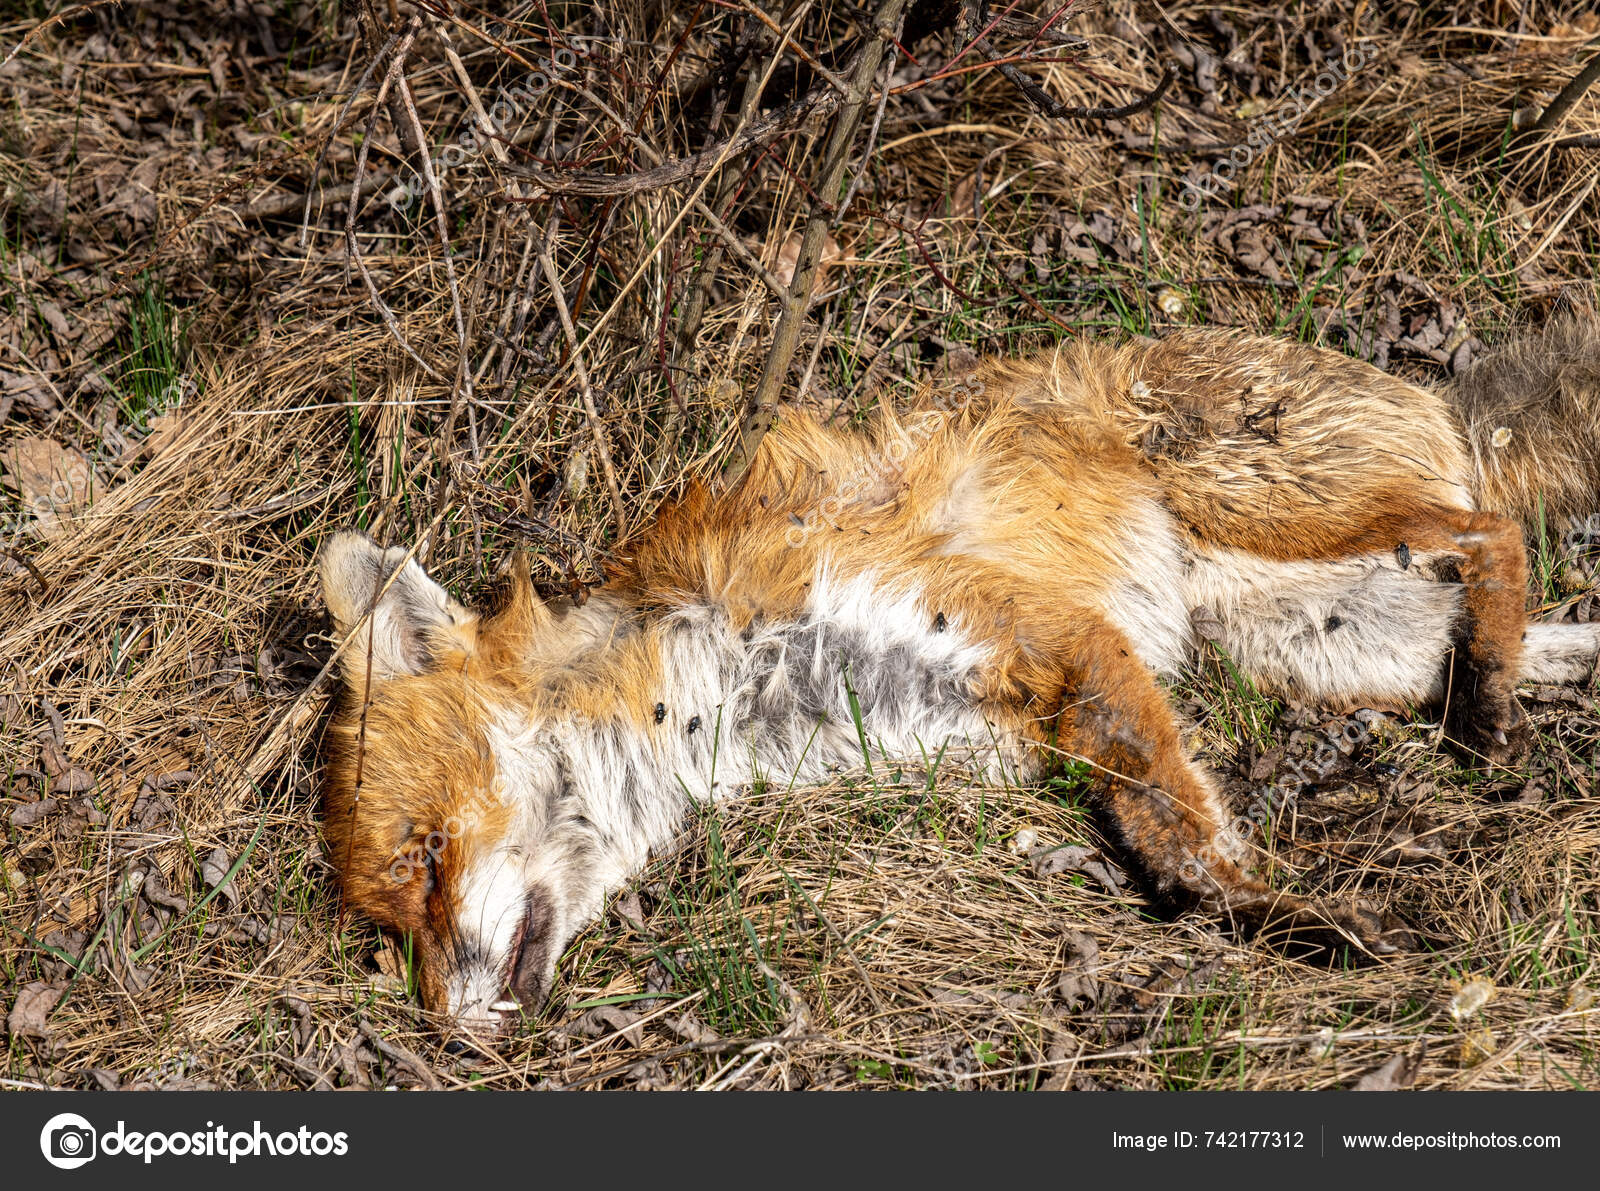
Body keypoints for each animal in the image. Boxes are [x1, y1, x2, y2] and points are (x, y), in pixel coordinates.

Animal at [319, 316, 1600, 1034]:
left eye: (426, 859)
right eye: (394, 917)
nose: (449, 1033)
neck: (723, 690)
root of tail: (1430, 395)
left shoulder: (1053, 635)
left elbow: (1183, 846)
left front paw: (1286, 923)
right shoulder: (1000, 734)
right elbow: (1162, 824)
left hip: (1282, 518)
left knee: (1493, 532)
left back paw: (1492, 707)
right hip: (1323, 642)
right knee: (1525, 616)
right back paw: (1518, 685)